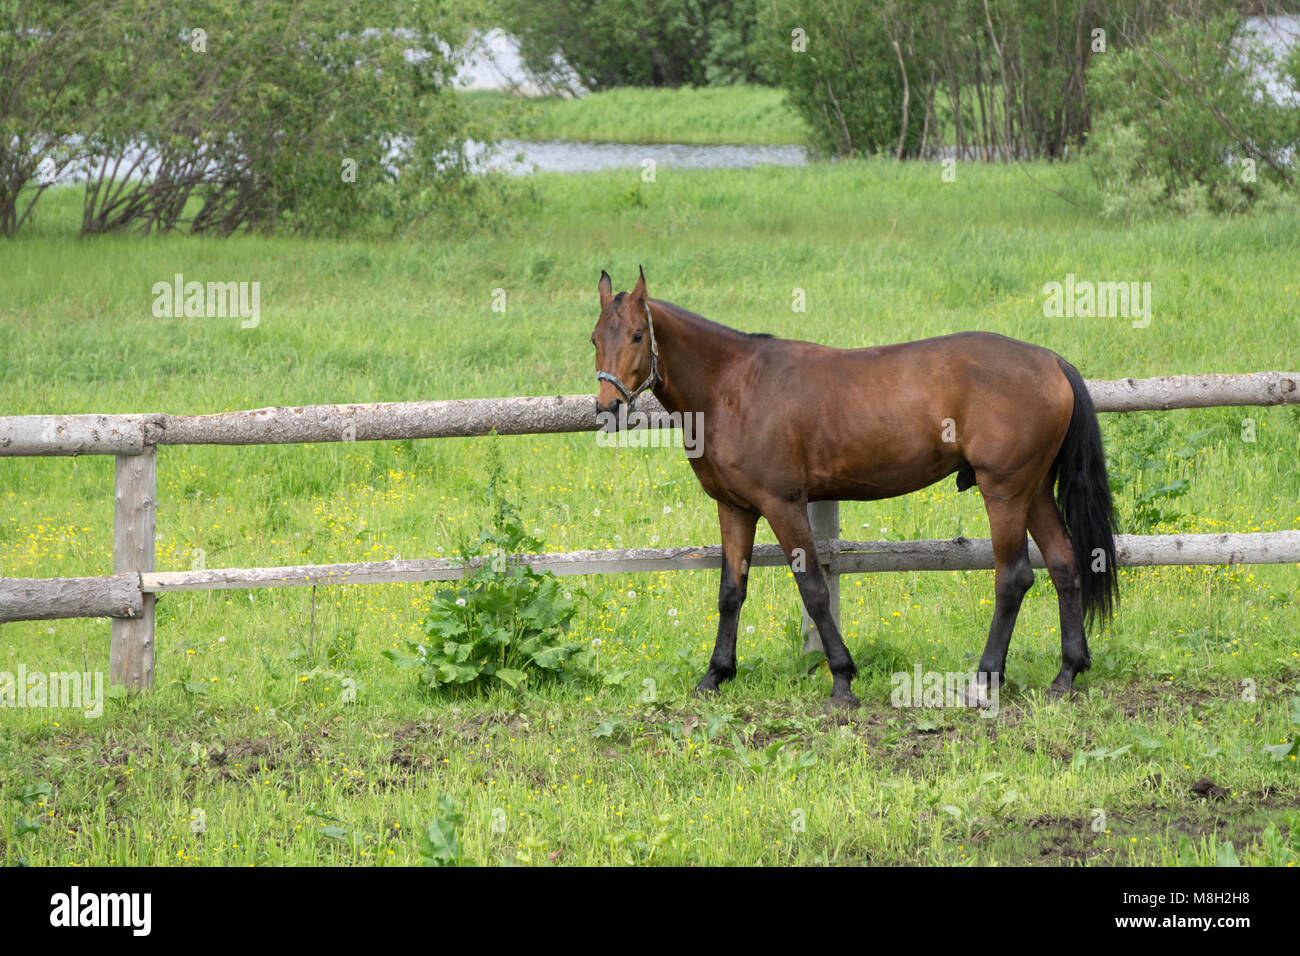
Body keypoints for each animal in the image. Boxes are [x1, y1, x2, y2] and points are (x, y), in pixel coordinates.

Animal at [591, 268, 1118, 709]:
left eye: (638, 335)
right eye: (595, 337)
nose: (606, 407)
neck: (734, 385)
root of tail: (1051, 361)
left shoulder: (783, 506)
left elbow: (813, 589)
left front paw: (842, 680)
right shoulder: (735, 508)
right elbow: (730, 591)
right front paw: (715, 675)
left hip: (1005, 491)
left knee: (1013, 577)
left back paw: (983, 681)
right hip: (1034, 491)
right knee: (1064, 565)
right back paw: (1066, 673)